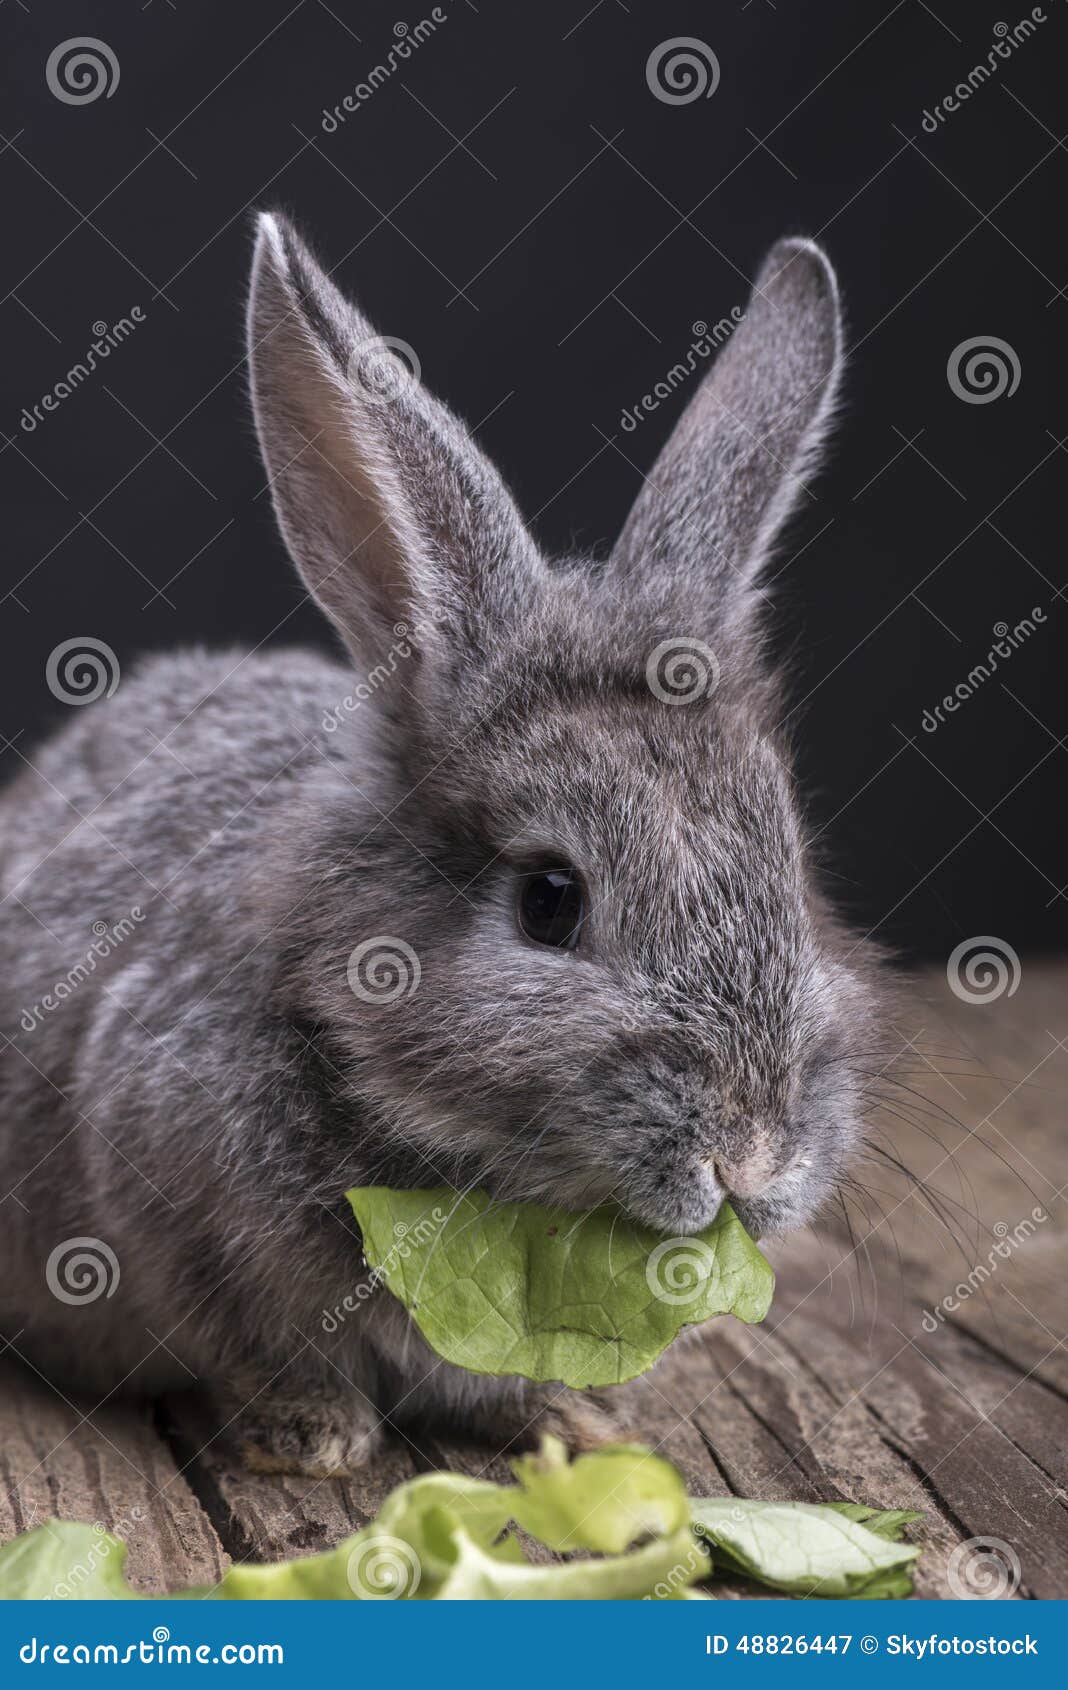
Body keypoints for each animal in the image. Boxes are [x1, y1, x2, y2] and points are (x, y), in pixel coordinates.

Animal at [0, 212, 882, 1476]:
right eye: (550, 899)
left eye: (794, 872)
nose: (749, 1153)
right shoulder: (165, 1206)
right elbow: (260, 1351)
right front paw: (313, 1439)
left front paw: (564, 1419)